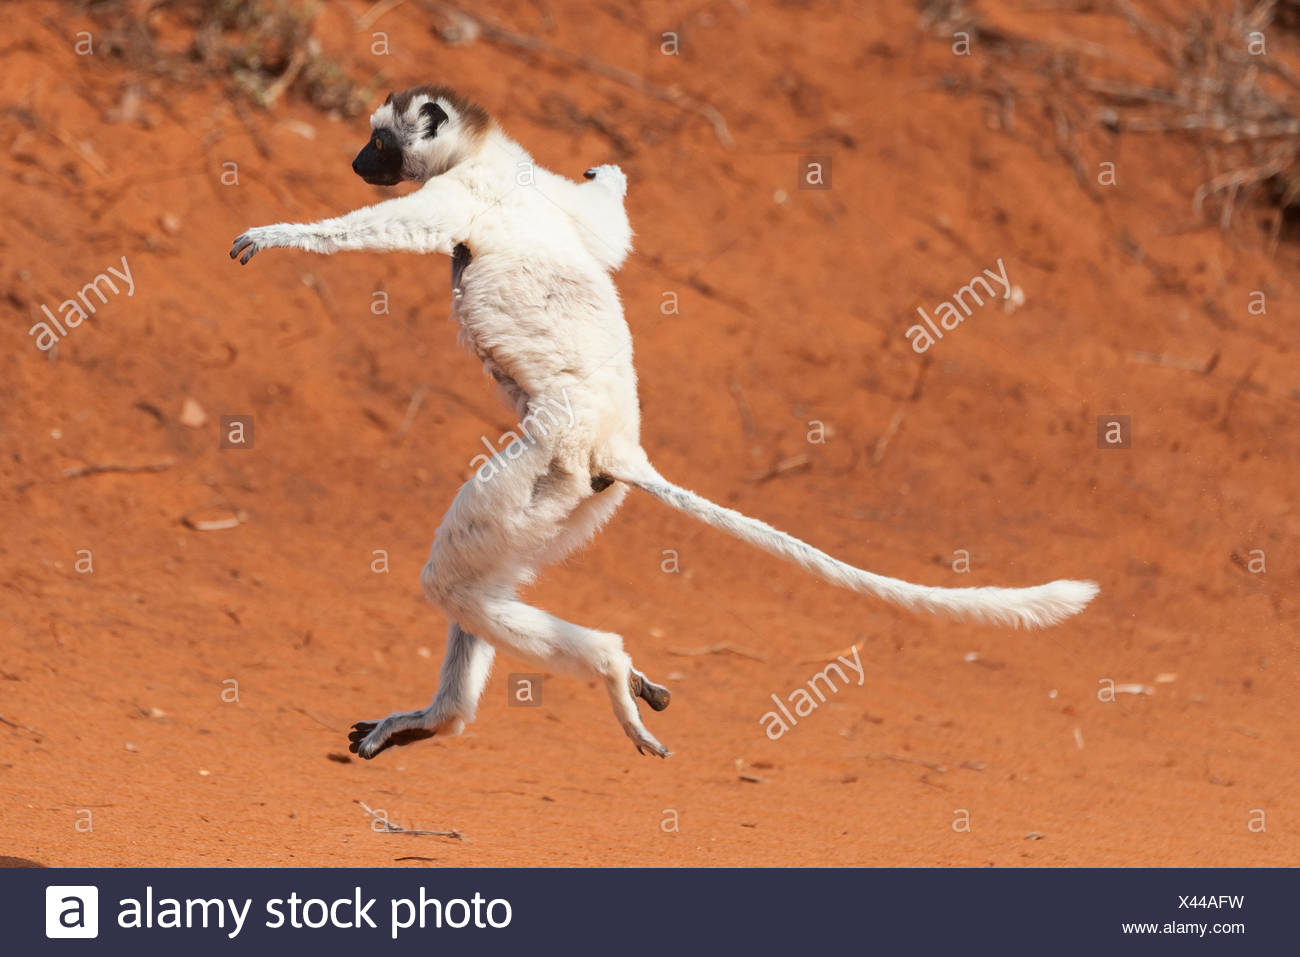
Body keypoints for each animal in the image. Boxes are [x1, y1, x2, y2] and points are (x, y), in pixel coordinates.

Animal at [229, 85, 1098, 760]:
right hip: (575, 499)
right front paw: (607, 174)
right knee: (481, 584)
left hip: (546, 465)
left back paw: (610, 669)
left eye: (380, 141)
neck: (488, 158)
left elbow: (395, 227)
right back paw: (444, 718)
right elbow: (606, 233)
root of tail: (619, 446)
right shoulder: (543, 187)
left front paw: (280, 234)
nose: (356, 164)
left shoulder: (464, 195)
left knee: (453, 579)